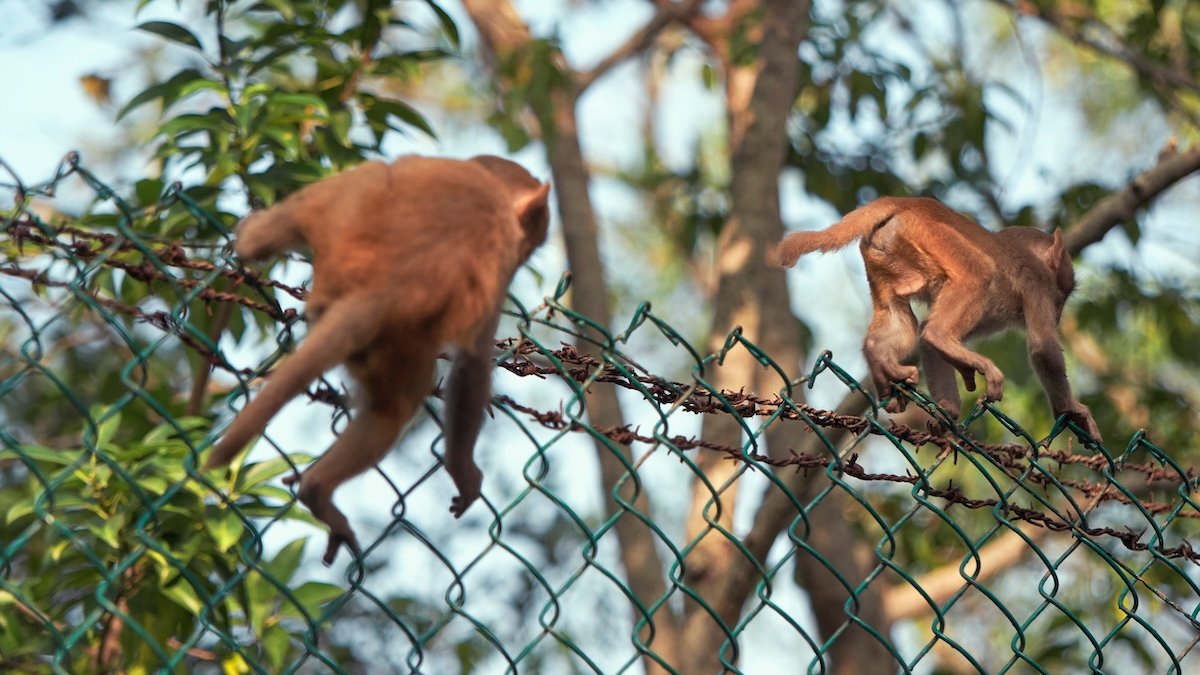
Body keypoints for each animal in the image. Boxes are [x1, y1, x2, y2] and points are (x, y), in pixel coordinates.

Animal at [205, 155, 551, 564]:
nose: (526, 253)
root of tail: (384, 289)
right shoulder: (500, 262)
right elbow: (472, 363)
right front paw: (462, 472)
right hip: (400, 336)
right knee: (396, 409)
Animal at [770, 196, 1101, 441]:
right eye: (1062, 296)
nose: (1059, 315)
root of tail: (905, 202)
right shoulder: (1038, 286)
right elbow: (1043, 349)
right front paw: (1072, 410)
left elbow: (926, 345)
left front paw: (947, 410)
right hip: (933, 235)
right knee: (976, 276)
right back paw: (939, 337)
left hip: (883, 253)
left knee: (902, 319)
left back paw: (881, 359)